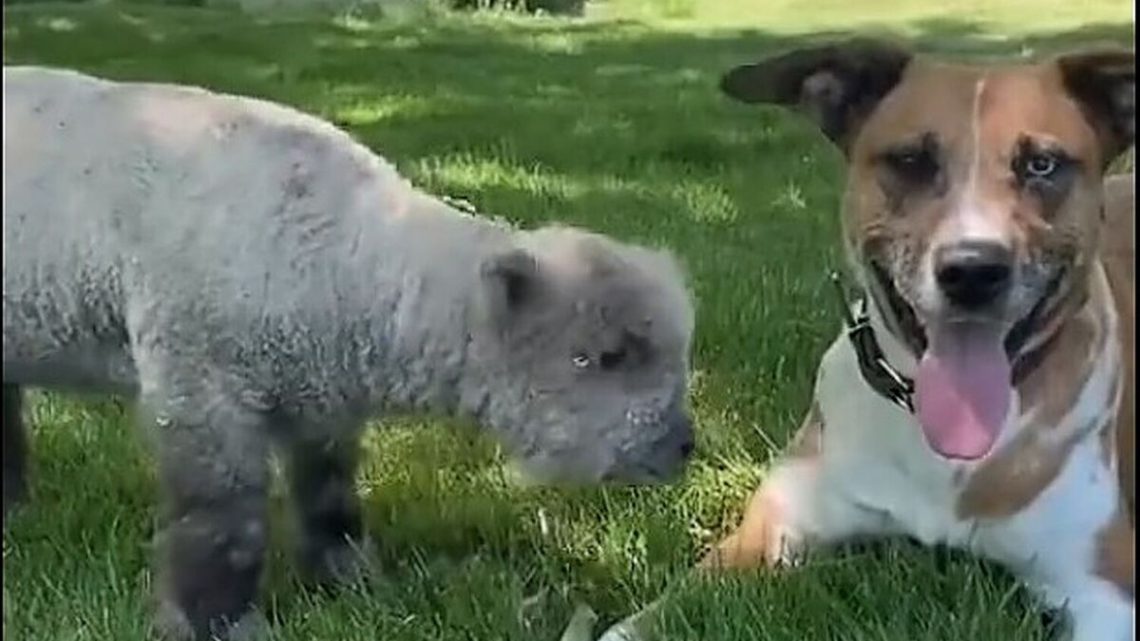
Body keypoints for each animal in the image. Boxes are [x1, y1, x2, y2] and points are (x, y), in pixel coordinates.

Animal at [2, 66, 693, 638]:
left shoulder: (321, 399)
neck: (346, 257)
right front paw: (219, 623)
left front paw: (354, 585)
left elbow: (329, 499)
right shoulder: (202, 388)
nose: (685, 444)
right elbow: (221, 523)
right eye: (603, 356)